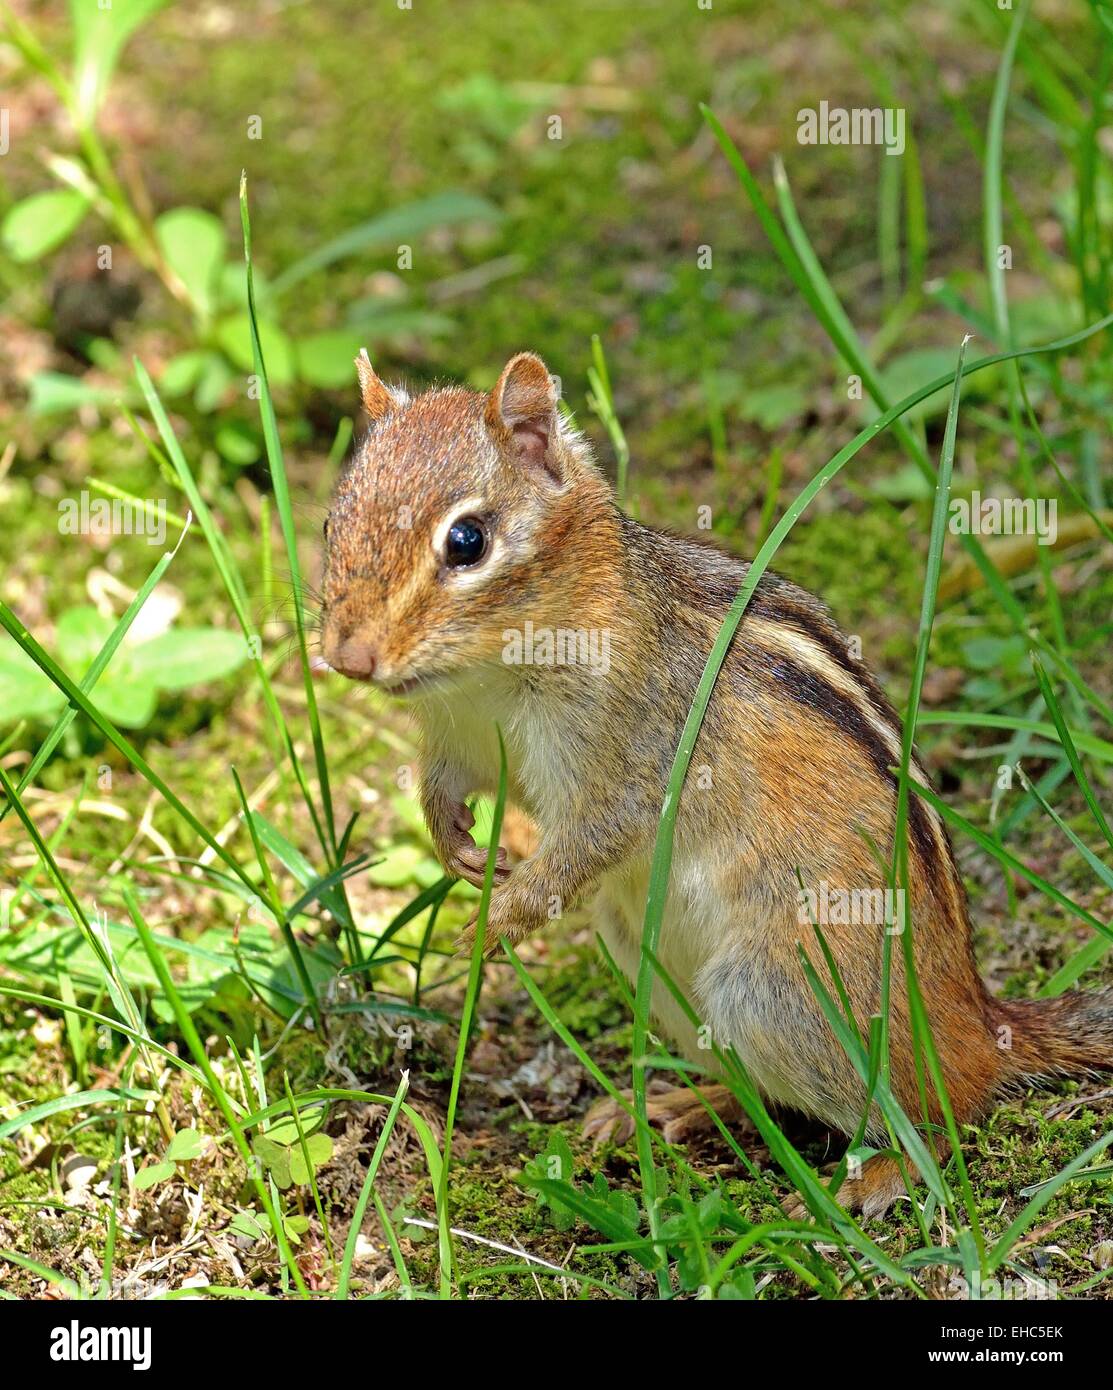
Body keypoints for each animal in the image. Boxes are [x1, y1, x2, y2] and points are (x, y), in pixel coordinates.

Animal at [320, 348, 1113, 1217]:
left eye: (466, 541)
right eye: (331, 520)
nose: (346, 658)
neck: (484, 674)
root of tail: (977, 1020)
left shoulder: (630, 757)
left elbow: (593, 837)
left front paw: (491, 923)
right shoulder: (460, 737)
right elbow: (443, 785)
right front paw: (454, 844)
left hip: (780, 992)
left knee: (939, 1114)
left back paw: (878, 1175)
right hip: (647, 956)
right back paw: (681, 1104)